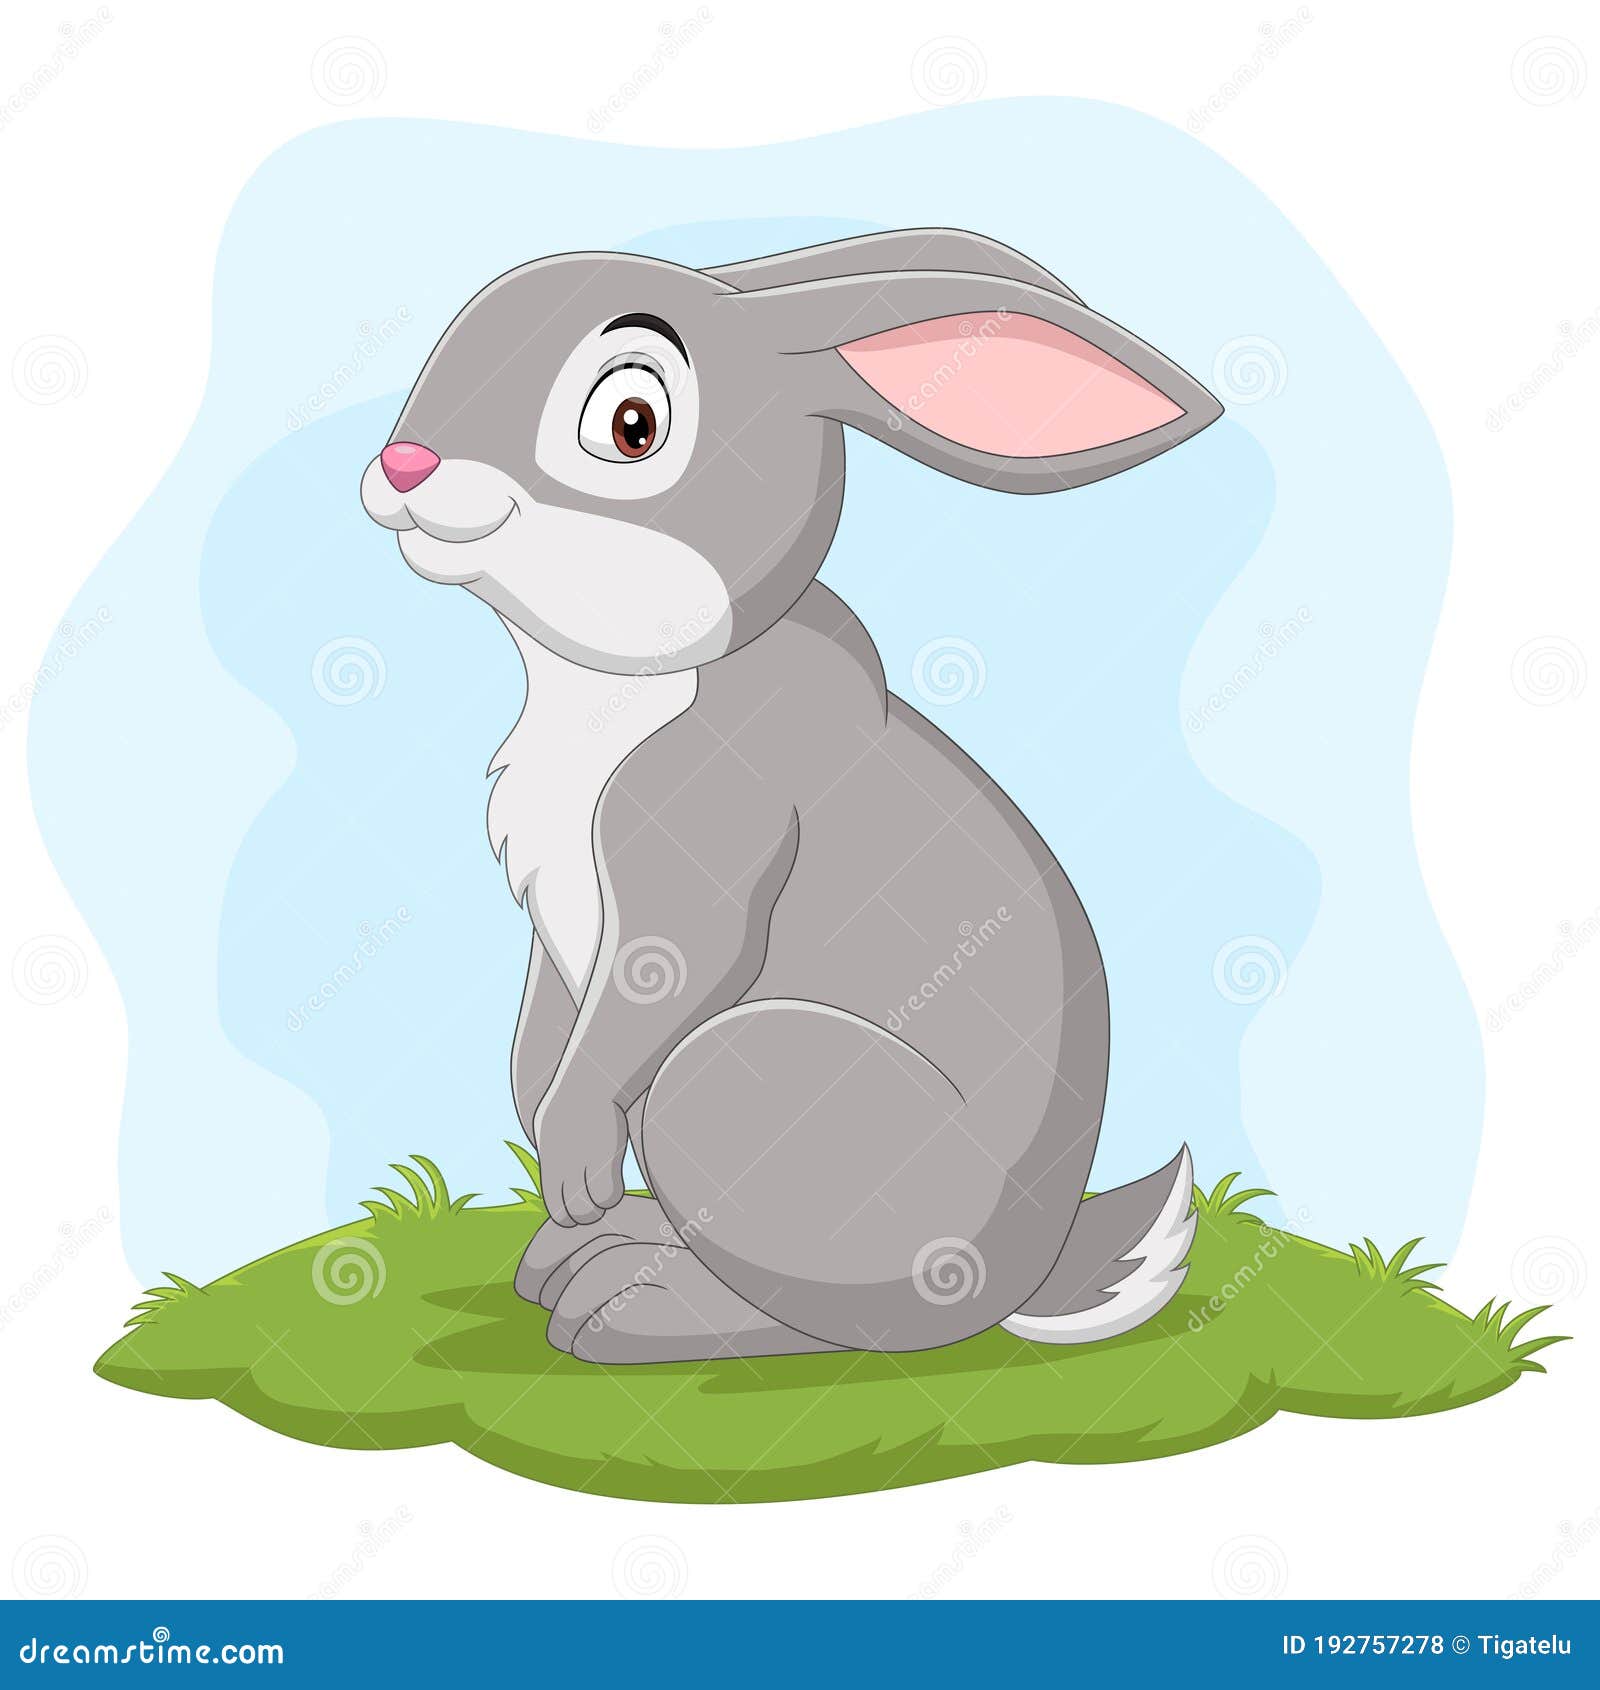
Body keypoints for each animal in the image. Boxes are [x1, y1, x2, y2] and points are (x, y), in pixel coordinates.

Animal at [360, 229, 1222, 1364]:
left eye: (631, 424)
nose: (402, 466)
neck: (619, 688)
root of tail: (1023, 1276)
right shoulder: (552, 927)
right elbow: (539, 1035)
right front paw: (554, 1161)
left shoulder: (701, 847)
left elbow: (653, 990)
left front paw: (573, 1167)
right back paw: (590, 1254)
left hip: (730, 1080)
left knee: (837, 1318)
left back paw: (632, 1304)